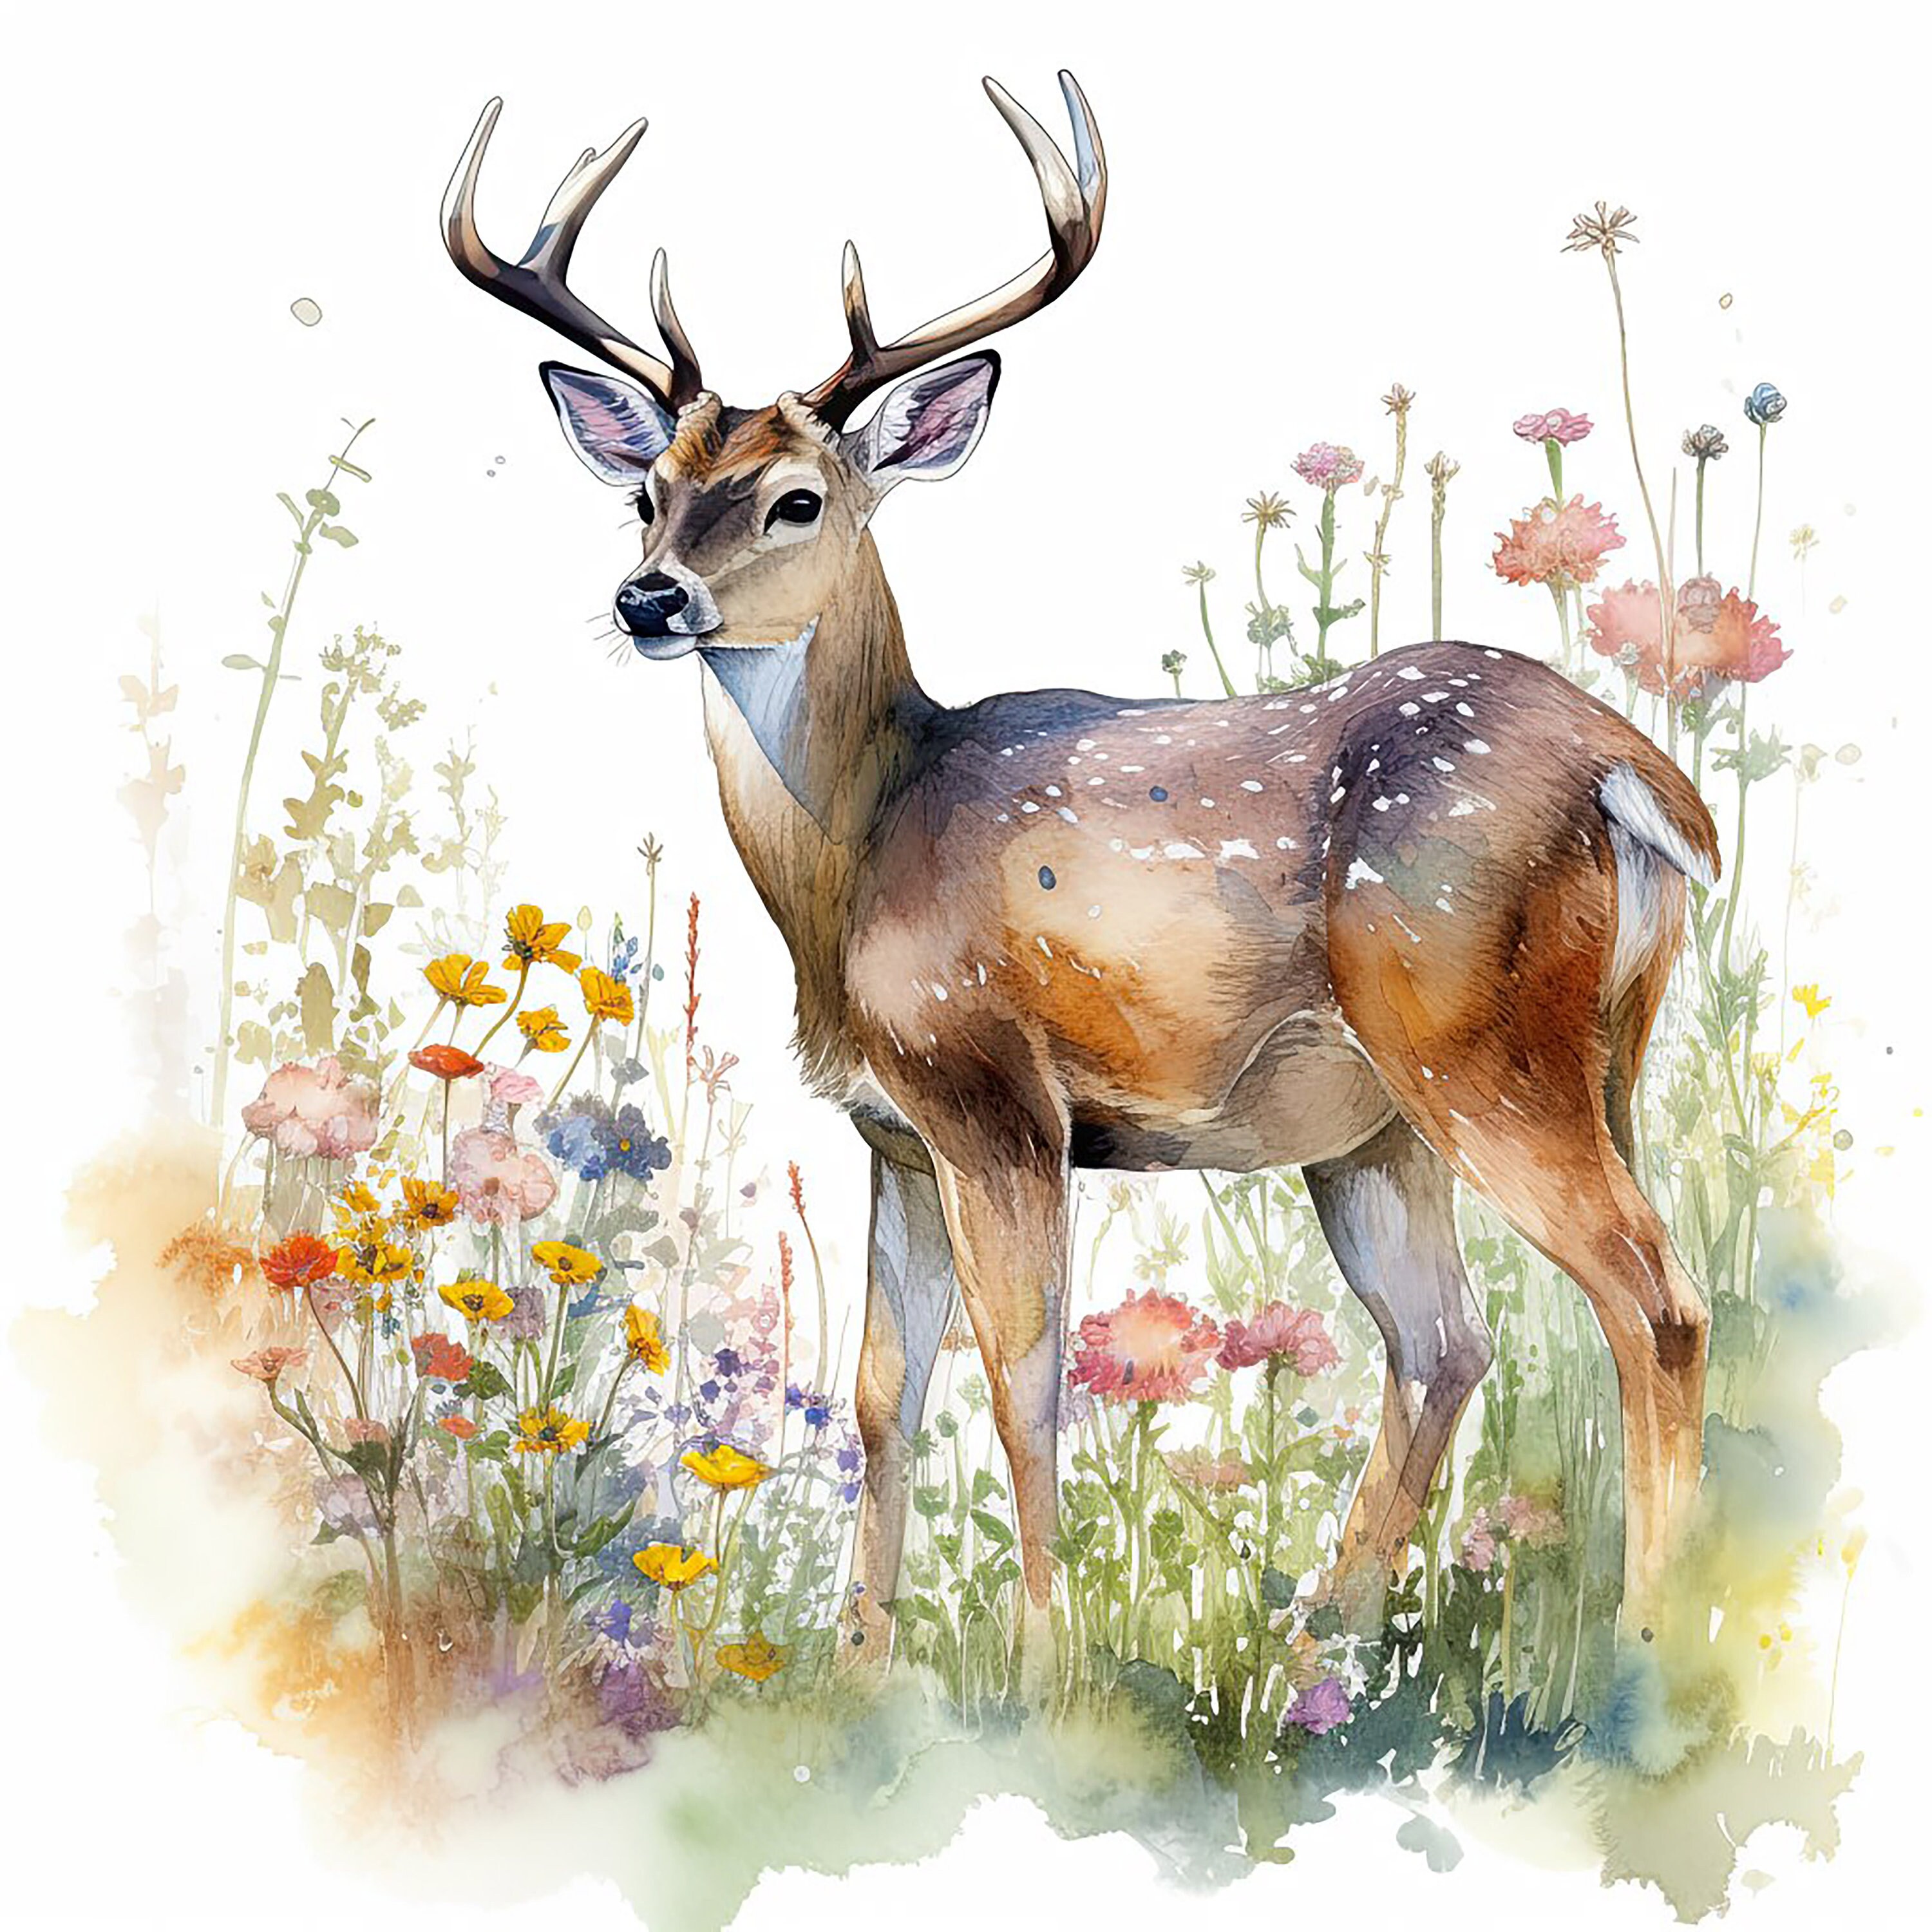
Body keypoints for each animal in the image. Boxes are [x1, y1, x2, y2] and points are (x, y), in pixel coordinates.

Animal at [442, 72, 1719, 1677]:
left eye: (798, 499)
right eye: (647, 494)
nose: (650, 598)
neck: (864, 850)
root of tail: (1640, 775)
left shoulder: (994, 1087)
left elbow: (1024, 1377)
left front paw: (1040, 1669)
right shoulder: (893, 1130)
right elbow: (884, 1391)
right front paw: (861, 1665)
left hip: (1480, 1042)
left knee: (1653, 1302)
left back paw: (1648, 1646)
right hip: (1424, 1111)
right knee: (1448, 1342)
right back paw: (1330, 1641)